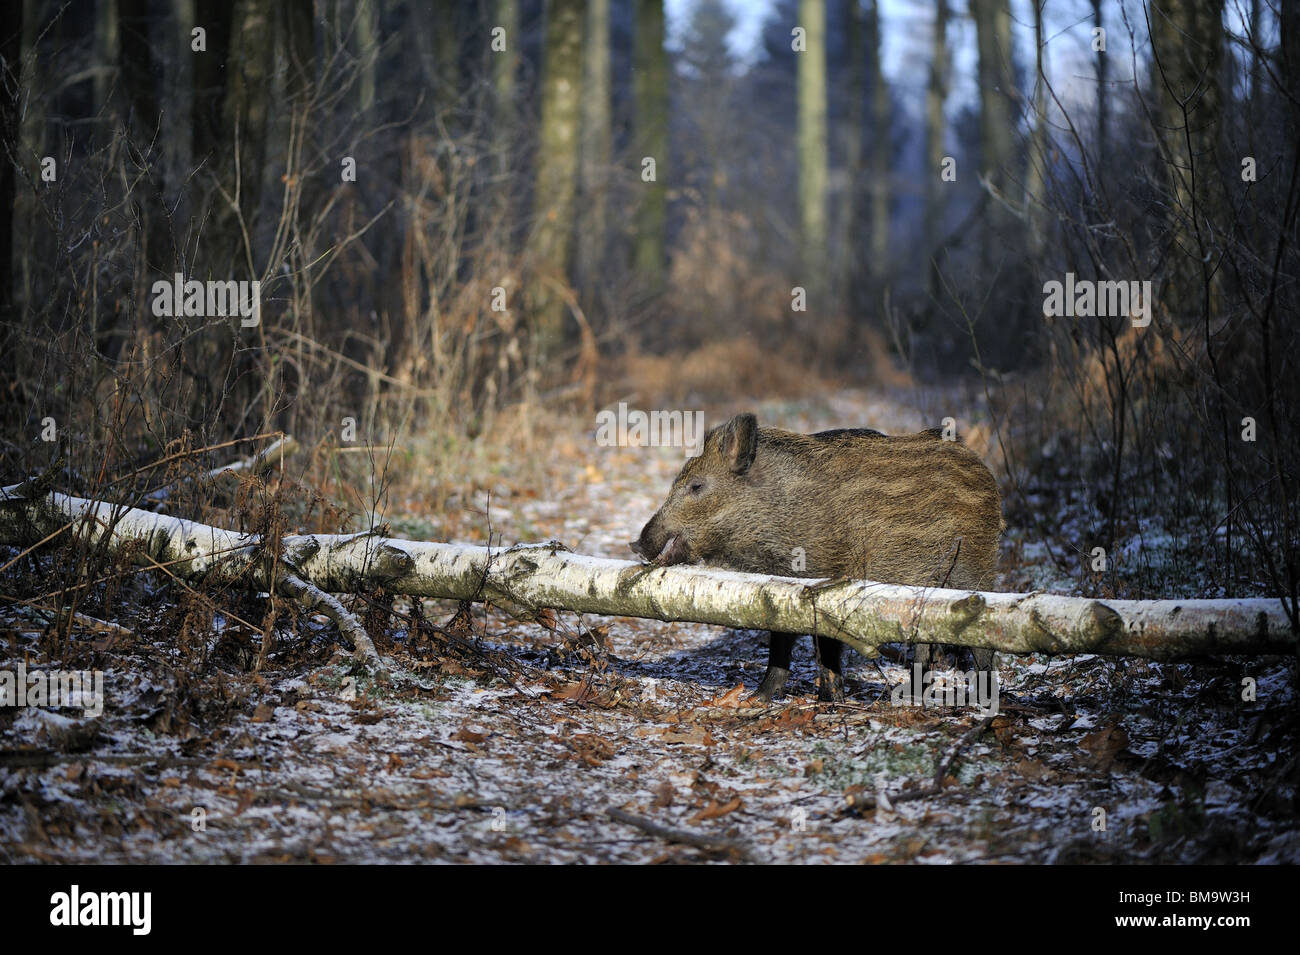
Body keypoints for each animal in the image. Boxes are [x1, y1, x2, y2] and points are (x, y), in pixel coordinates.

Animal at [630, 413, 1003, 702]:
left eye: (696, 486)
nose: (636, 544)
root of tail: (984, 470)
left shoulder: (826, 578)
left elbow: (823, 643)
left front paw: (824, 700)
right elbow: (781, 639)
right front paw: (760, 699)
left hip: (974, 570)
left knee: (982, 641)